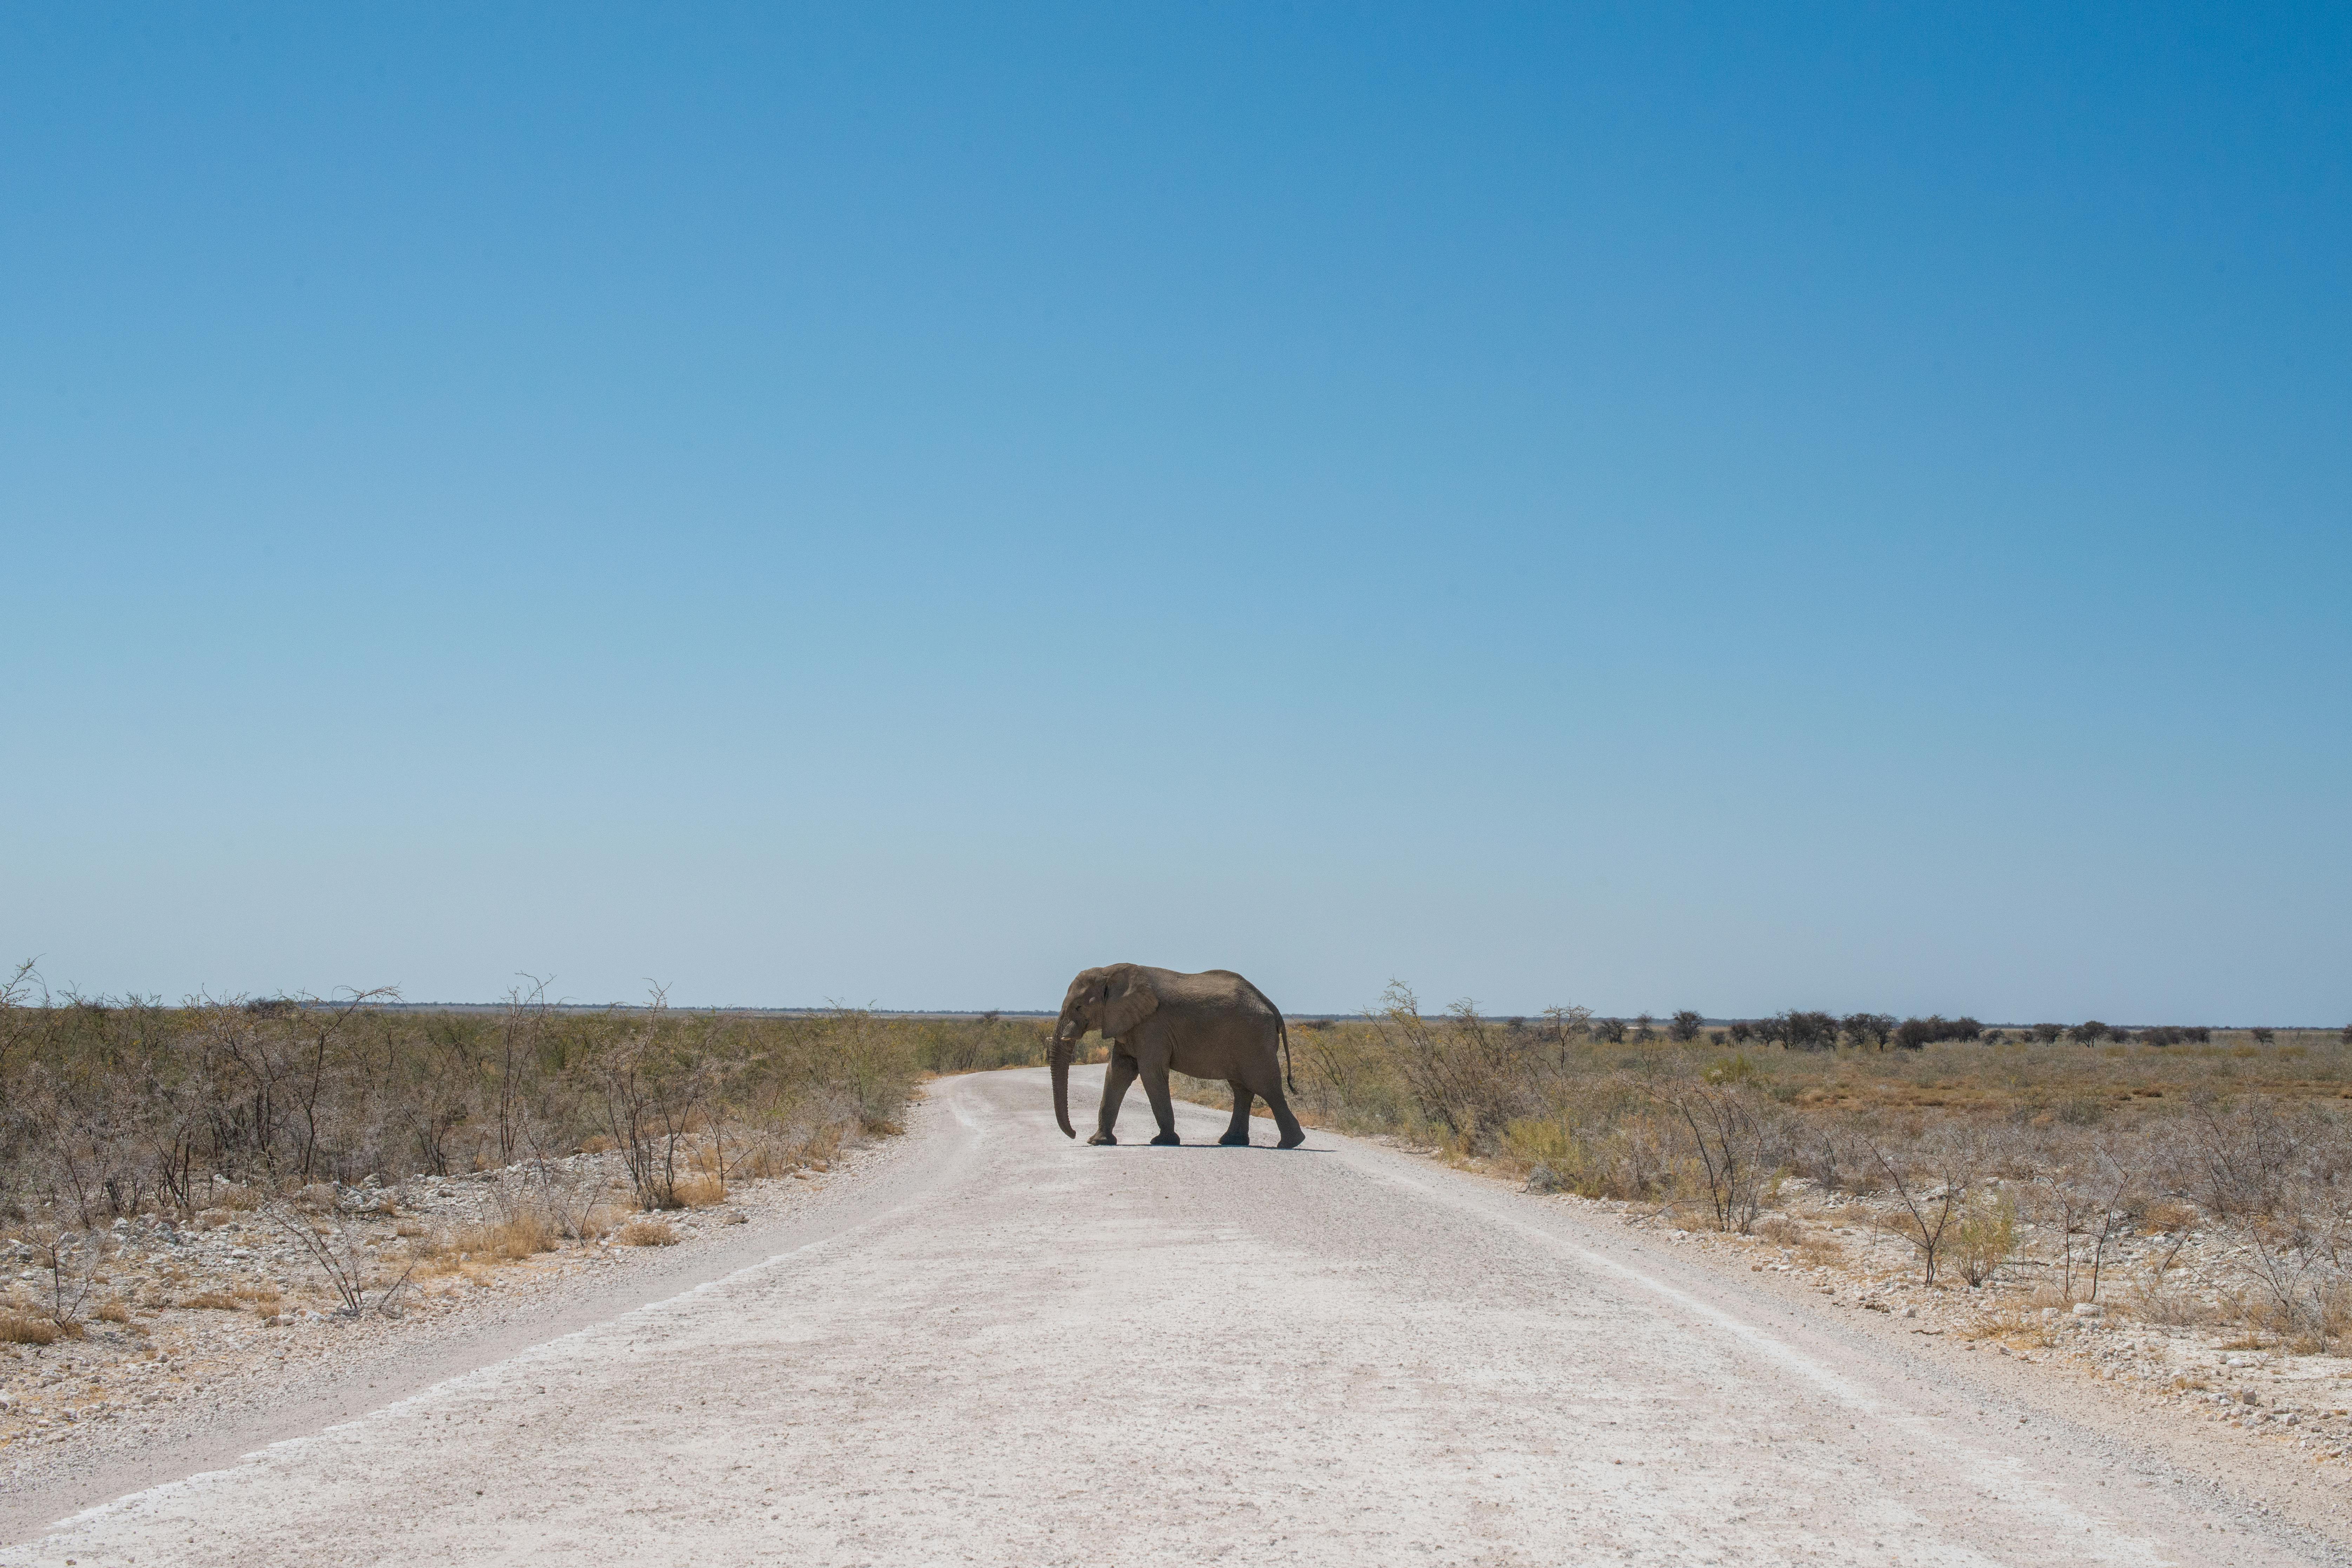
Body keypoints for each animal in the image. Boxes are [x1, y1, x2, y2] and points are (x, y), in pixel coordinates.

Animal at [1048, 964, 1305, 1149]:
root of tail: (1270, 1005)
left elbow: (1151, 1073)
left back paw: (1290, 1144)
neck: (1110, 972)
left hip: (1254, 1039)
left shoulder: (1152, 1026)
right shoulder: (1129, 1025)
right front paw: (1098, 1142)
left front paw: (1163, 1141)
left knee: (1265, 1086)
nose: (1074, 1134)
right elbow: (1117, 1072)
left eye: (1079, 1007)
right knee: (1242, 1088)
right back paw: (1232, 1142)